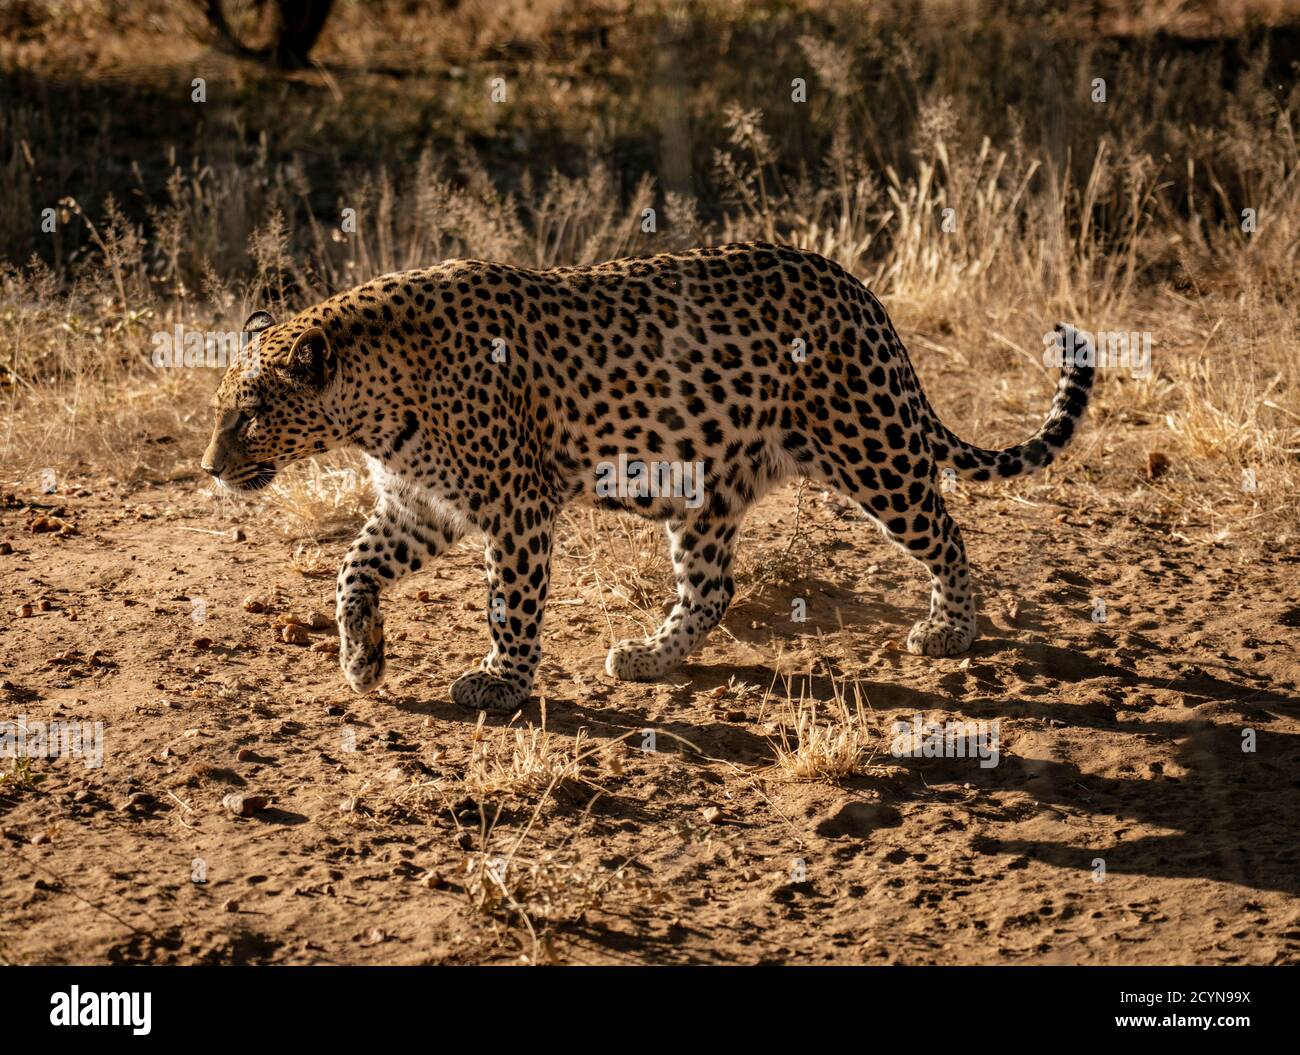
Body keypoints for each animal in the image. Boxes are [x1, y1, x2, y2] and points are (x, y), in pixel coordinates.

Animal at [201, 241, 1094, 713]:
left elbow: (509, 604)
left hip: (872, 447)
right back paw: (651, 658)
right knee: (712, 587)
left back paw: (951, 630)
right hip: (707, 486)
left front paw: (500, 682)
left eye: (249, 413)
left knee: (946, 531)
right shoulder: (421, 502)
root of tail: (861, 292)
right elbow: (352, 571)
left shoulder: (515, 505)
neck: (377, 400)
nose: (209, 467)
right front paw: (363, 657)